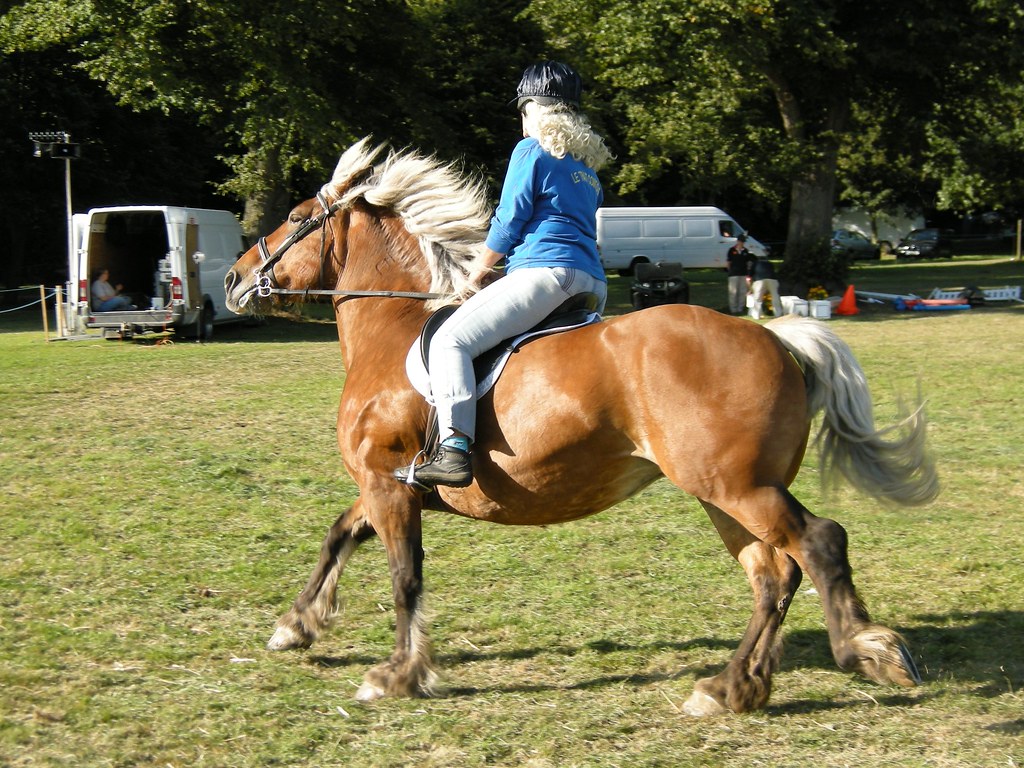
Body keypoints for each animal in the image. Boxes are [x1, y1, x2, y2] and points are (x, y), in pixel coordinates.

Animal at [224, 138, 938, 716]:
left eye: (295, 219)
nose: (233, 278)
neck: (391, 329)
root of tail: (772, 335)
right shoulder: (388, 486)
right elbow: (338, 536)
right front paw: (296, 625)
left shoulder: (390, 486)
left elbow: (404, 577)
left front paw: (397, 674)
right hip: (724, 492)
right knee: (774, 574)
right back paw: (733, 687)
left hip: (738, 487)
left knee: (818, 543)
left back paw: (862, 650)